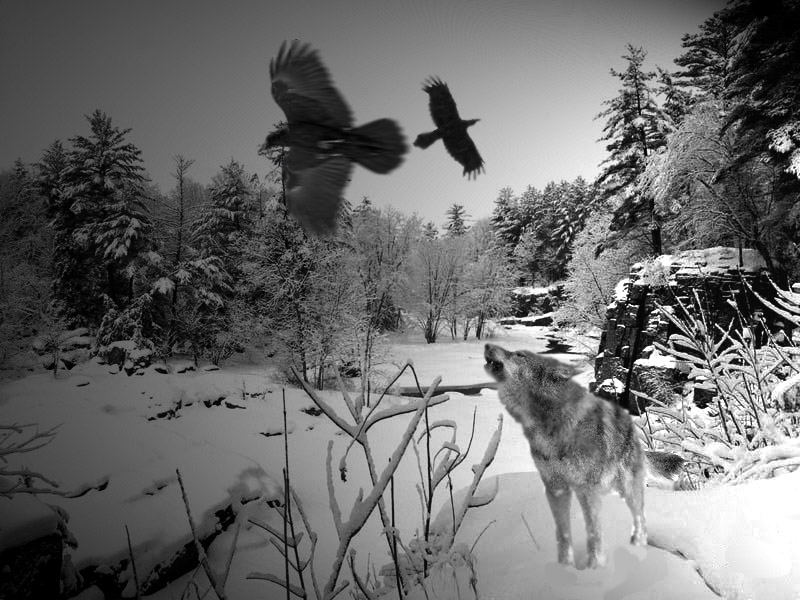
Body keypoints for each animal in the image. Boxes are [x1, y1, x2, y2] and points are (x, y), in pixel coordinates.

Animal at [484, 343, 683, 568]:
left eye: (519, 355)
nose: (487, 345)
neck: (552, 428)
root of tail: (633, 431)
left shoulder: (586, 490)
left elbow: (594, 533)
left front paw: (594, 569)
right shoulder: (555, 489)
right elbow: (563, 534)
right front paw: (564, 568)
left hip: (627, 491)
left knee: (640, 520)